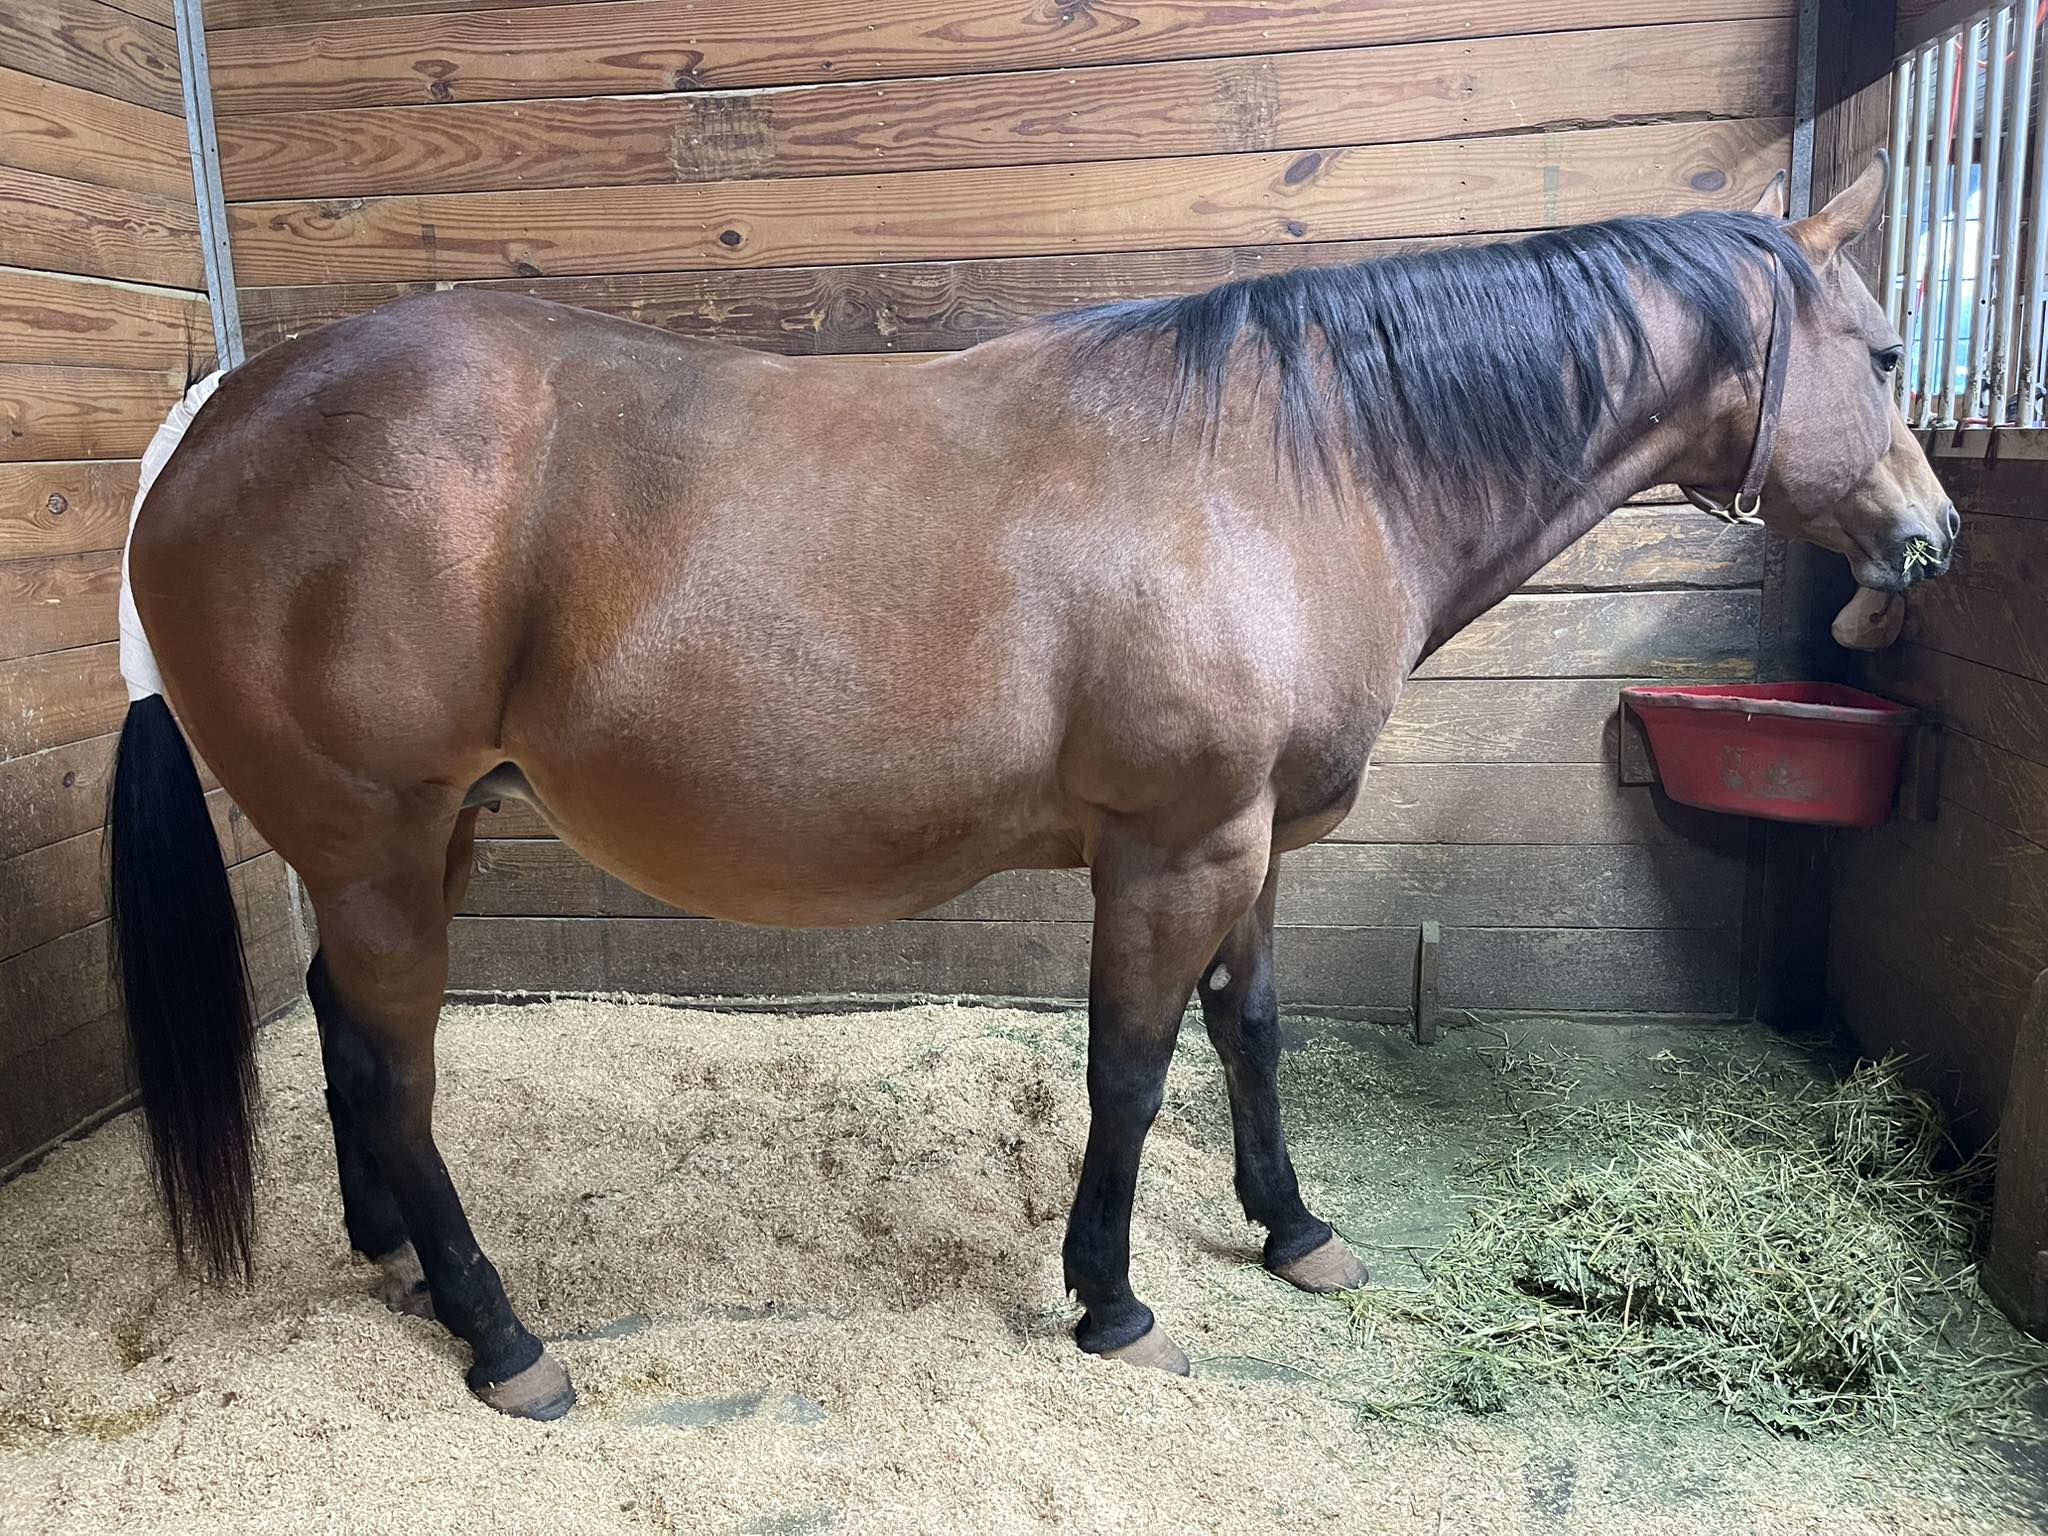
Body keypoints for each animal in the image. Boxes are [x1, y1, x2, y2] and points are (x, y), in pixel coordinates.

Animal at [105, 156, 1953, 1419]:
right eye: (1876, 353)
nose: (1929, 540)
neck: (1283, 466)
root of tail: (220, 409)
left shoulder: (1256, 847)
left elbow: (1249, 1033)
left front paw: (1294, 1230)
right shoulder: (1168, 850)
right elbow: (1128, 1071)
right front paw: (1109, 1300)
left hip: (412, 846)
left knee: (347, 1036)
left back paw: (399, 1265)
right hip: (376, 844)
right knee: (401, 1076)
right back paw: (501, 1335)